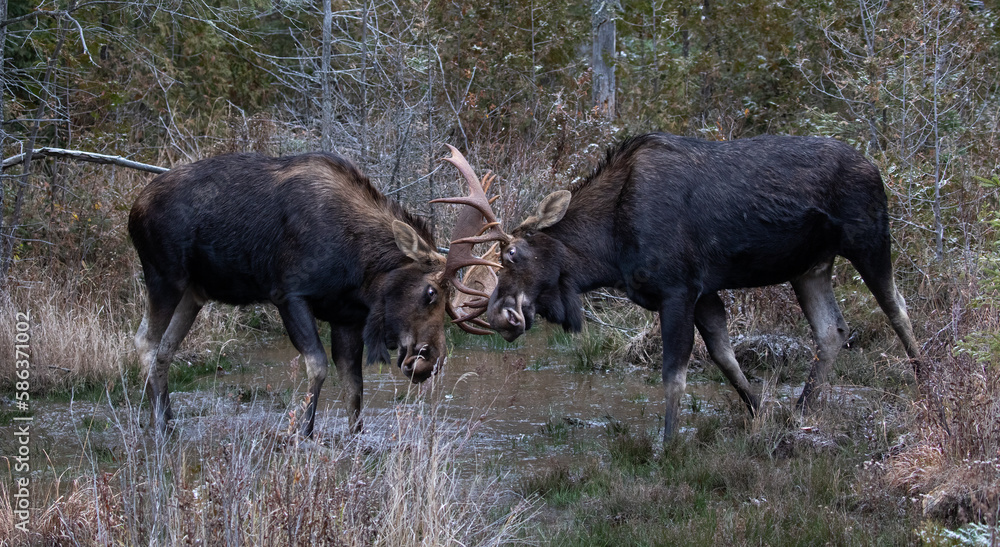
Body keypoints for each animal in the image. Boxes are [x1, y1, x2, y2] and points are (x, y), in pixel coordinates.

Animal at [128, 148, 493, 437]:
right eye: (430, 292)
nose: (429, 362)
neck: (360, 268)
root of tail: (134, 210)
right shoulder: (289, 294)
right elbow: (317, 365)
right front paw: (303, 431)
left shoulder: (346, 317)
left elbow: (353, 387)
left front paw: (355, 436)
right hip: (165, 276)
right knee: (145, 342)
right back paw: (159, 425)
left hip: (194, 292)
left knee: (165, 350)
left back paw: (169, 419)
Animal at [475, 132, 922, 439]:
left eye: (511, 254)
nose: (498, 316)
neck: (608, 249)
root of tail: (876, 168)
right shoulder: (705, 292)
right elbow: (726, 359)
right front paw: (761, 413)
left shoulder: (679, 289)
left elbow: (674, 375)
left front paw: (668, 443)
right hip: (809, 267)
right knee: (832, 330)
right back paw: (800, 410)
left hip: (869, 239)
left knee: (897, 307)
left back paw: (925, 380)